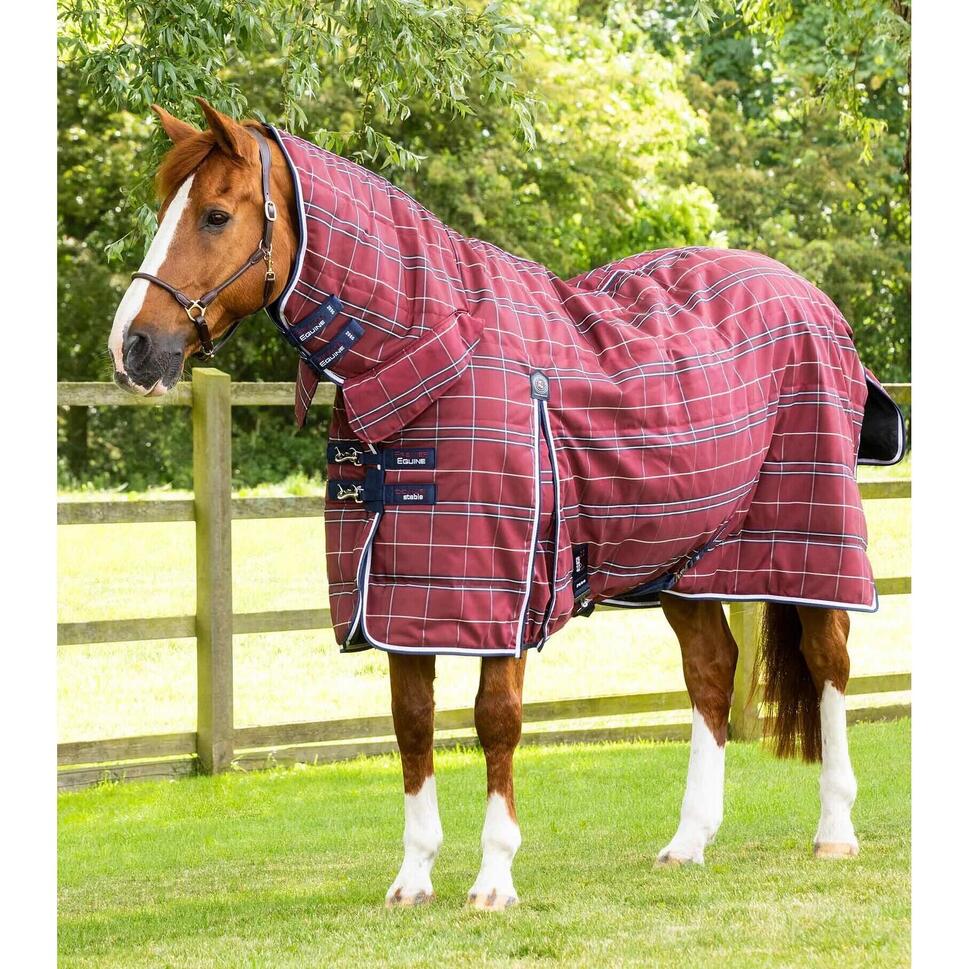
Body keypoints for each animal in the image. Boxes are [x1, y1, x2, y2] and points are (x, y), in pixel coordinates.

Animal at [108, 99, 901, 910]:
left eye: (214, 215)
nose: (131, 347)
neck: (435, 357)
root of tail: (811, 298)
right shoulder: (400, 597)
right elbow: (412, 724)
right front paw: (413, 878)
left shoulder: (505, 593)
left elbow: (495, 722)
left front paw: (493, 878)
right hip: (686, 560)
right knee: (712, 672)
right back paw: (688, 841)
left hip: (811, 541)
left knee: (829, 662)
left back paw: (835, 830)